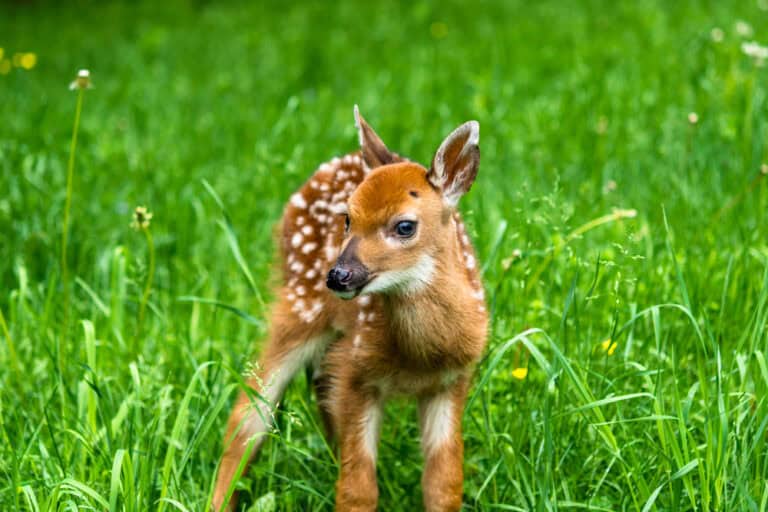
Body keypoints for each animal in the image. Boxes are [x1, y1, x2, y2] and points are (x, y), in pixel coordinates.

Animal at [212, 106, 488, 512]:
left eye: (405, 226)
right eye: (348, 219)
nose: (338, 275)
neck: (419, 357)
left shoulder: (452, 380)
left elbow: (444, 483)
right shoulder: (358, 373)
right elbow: (358, 489)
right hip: (300, 306)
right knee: (248, 415)